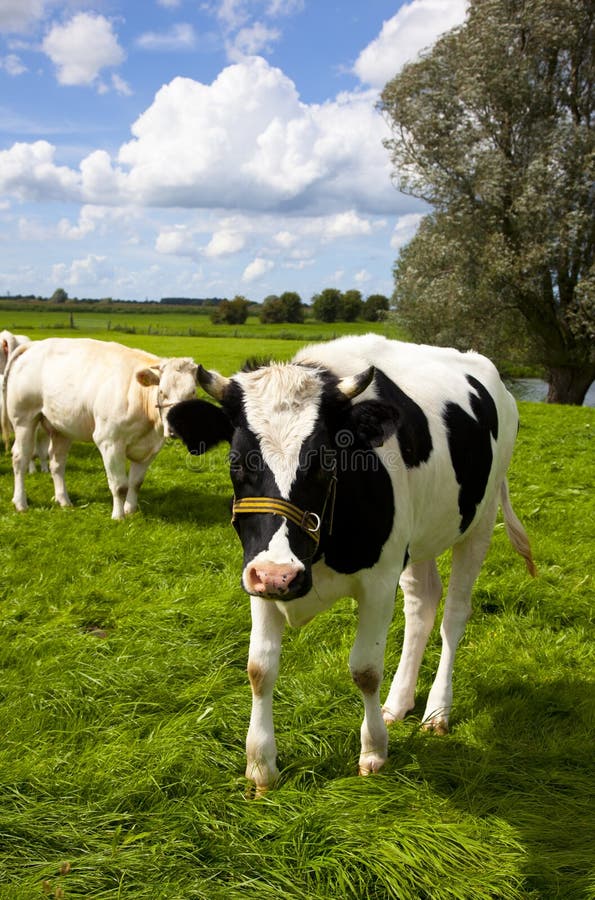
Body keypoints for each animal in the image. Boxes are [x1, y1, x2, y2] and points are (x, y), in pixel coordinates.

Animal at [2, 337, 200, 519]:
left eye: (192, 393)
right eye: (162, 392)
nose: (175, 428)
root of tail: (34, 345)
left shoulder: (150, 449)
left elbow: (136, 483)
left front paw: (131, 510)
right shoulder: (109, 441)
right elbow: (120, 486)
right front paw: (119, 516)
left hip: (62, 427)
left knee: (57, 463)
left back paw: (63, 500)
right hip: (24, 419)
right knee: (20, 457)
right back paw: (20, 503)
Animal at [167, 333, 536, 795]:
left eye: (325, 460)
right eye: (237, 461)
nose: (280, 575)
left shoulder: (378, 580)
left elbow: (365, 670)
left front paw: (373, 752)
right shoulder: (257, 572)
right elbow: (259, 668)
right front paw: (261, 767)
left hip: (480, 522)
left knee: (454, 615)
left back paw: (437, 711)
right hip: (418, 538)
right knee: (422, 604)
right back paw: (398, 703)